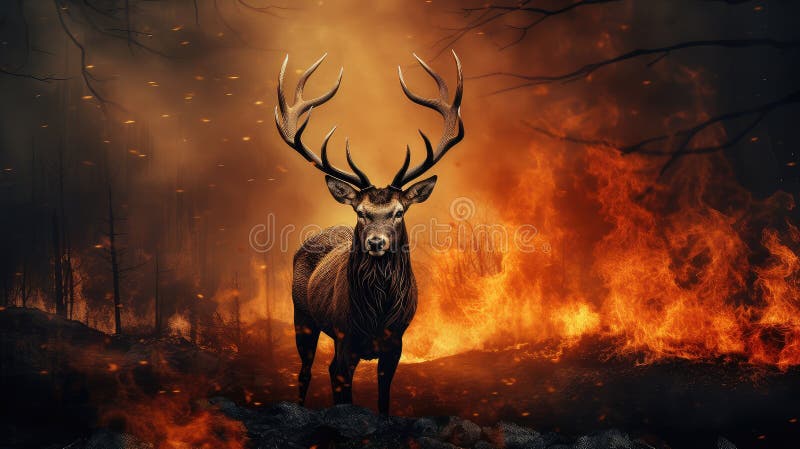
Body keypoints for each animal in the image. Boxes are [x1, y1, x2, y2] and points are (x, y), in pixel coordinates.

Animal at [274, 51, 464, 415]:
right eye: (360, 212)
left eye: (399, 212)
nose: (377, 242)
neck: (375, 315)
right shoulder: (344, 337)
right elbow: (340, 389)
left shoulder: (396, 342)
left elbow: (384, 399)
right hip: (301, 314)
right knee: (305, 370)